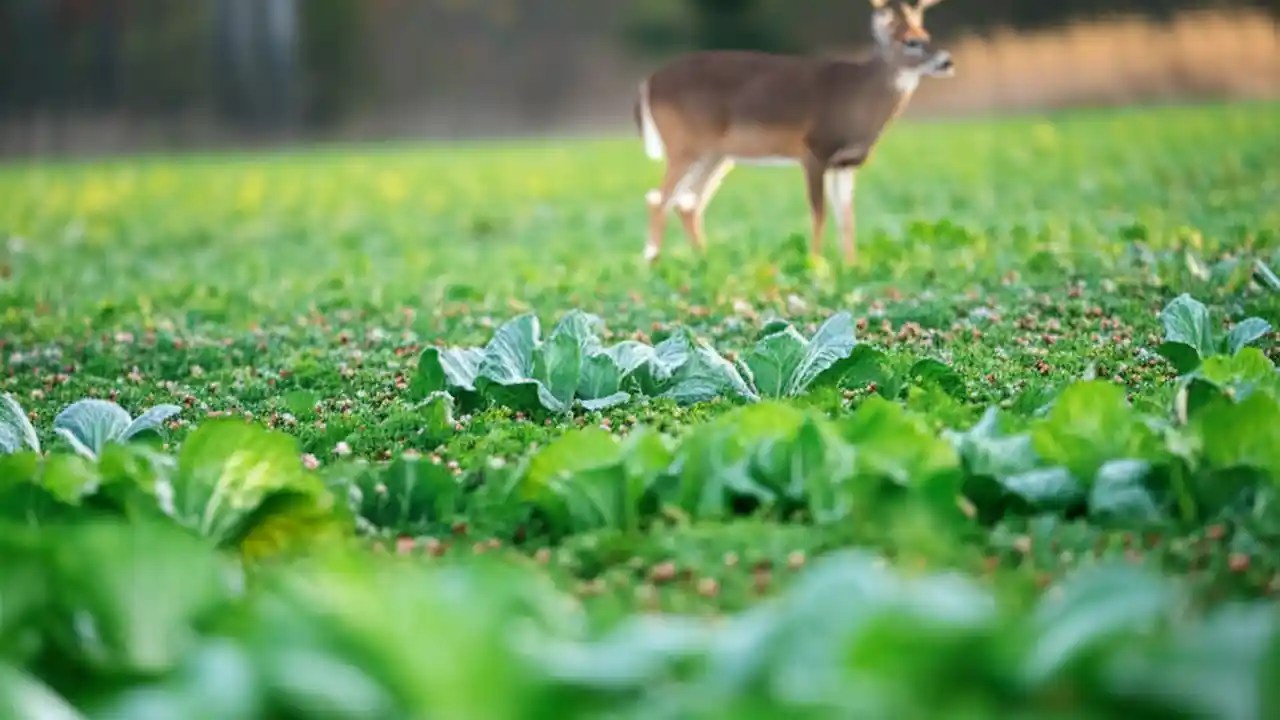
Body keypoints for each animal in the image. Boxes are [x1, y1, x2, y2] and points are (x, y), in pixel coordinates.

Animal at [634, 0, 955, 266]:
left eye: (925, 33)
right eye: (911, 41)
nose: (947, 61)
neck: (859, 97)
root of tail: (648, 82)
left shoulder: (846, 162)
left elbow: (847, 215)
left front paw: (852, 265)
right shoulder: (813, 150)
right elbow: (819, 211)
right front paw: (816, 262)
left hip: (716, 154)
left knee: (687, 203)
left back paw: (705, 260)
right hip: (683, 144)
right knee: (659, 198)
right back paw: (654, 262)